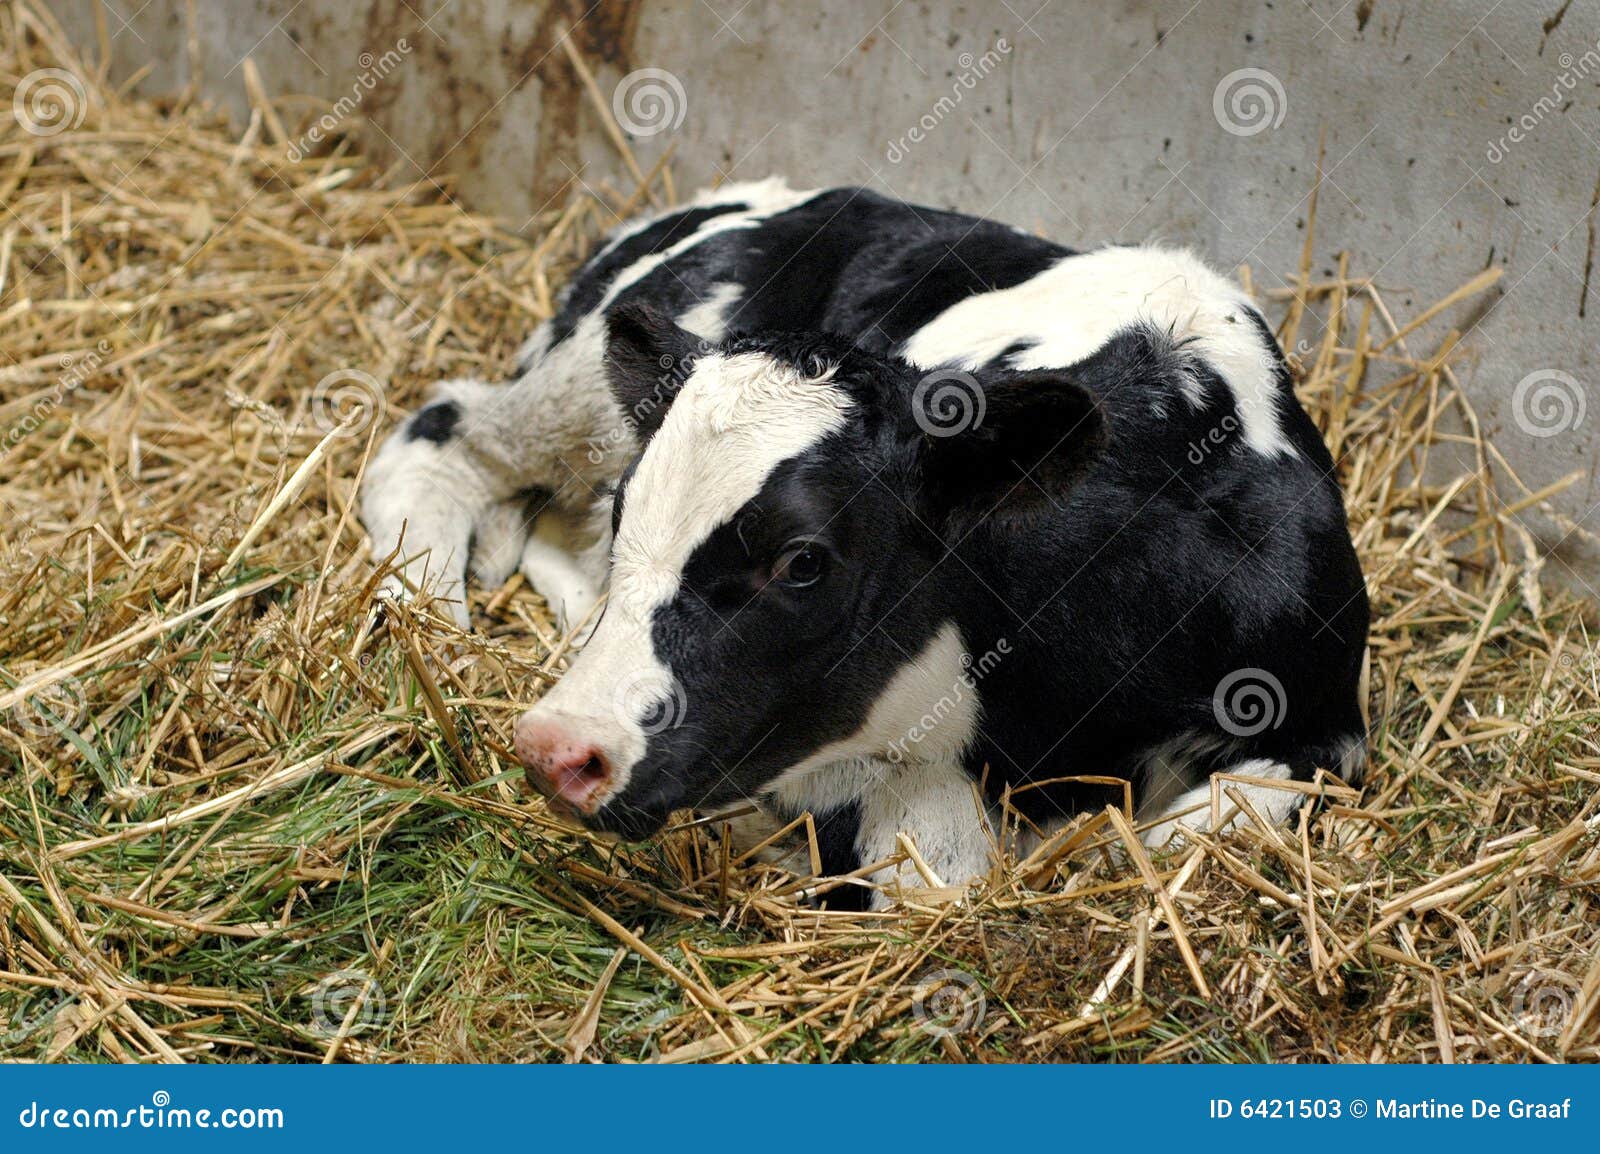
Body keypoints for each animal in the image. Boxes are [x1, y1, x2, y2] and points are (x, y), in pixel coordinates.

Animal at [360, 178, 1369, 909]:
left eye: (804, 562)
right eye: (630, 516)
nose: (556, 747)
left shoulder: (1331, 721)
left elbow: (1211, 820)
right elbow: (924, 862)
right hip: (579, 396)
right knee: (442, 435)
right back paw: (424, 610)